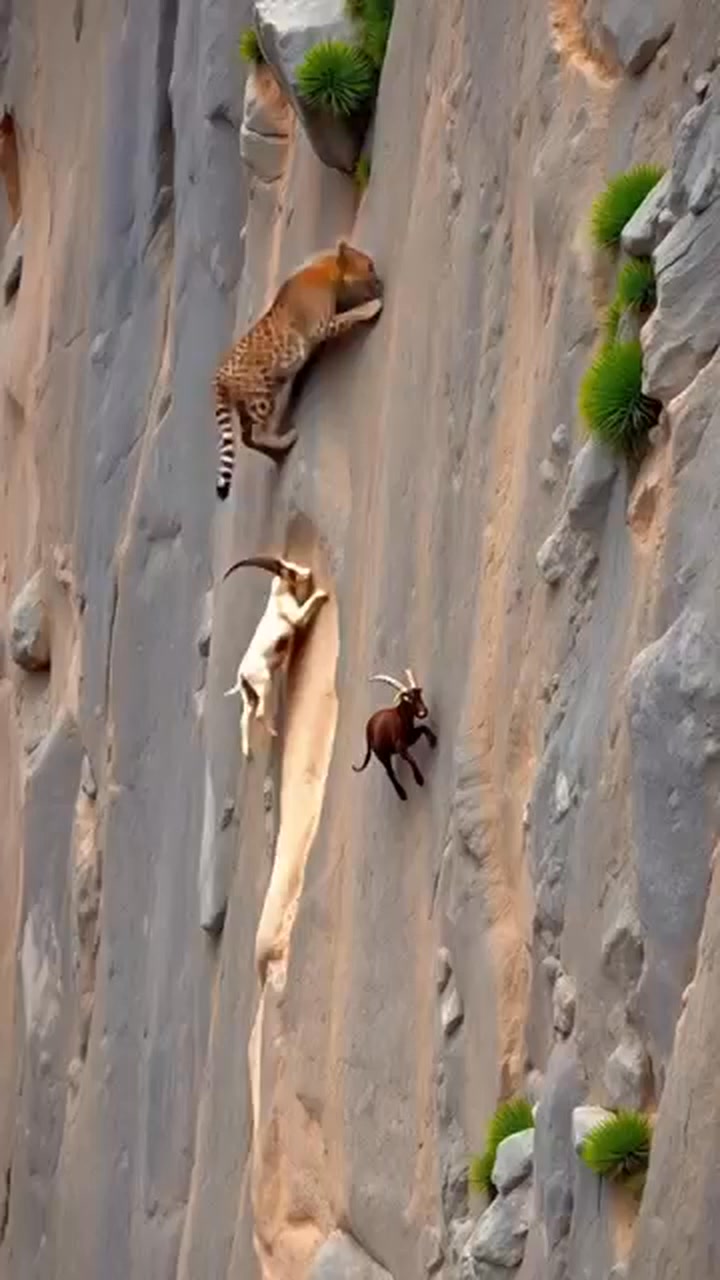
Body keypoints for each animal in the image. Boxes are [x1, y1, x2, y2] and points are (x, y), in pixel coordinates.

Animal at [223, 555, 328, 759]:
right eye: (291, 572)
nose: (308, 573)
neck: (278, 595)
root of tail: (242, 675)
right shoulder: (296, 617)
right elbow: (301, 616)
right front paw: (323, 593)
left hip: (249, 695)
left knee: (245, 717)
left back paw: (247, 751)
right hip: (264, 683)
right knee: (258, 714)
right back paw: (273, 733)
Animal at [352, 668, 437, 801]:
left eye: (419, 695)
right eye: (408, 699)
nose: (423, 712)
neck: (401, 720)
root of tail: (368, 730)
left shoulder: (411, 737)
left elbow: (423, 727)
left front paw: (433, 741)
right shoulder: (400, 747)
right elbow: (411, 759)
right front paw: (419, 780)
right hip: (381, 754)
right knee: (389, 772)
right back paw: (402, 794)